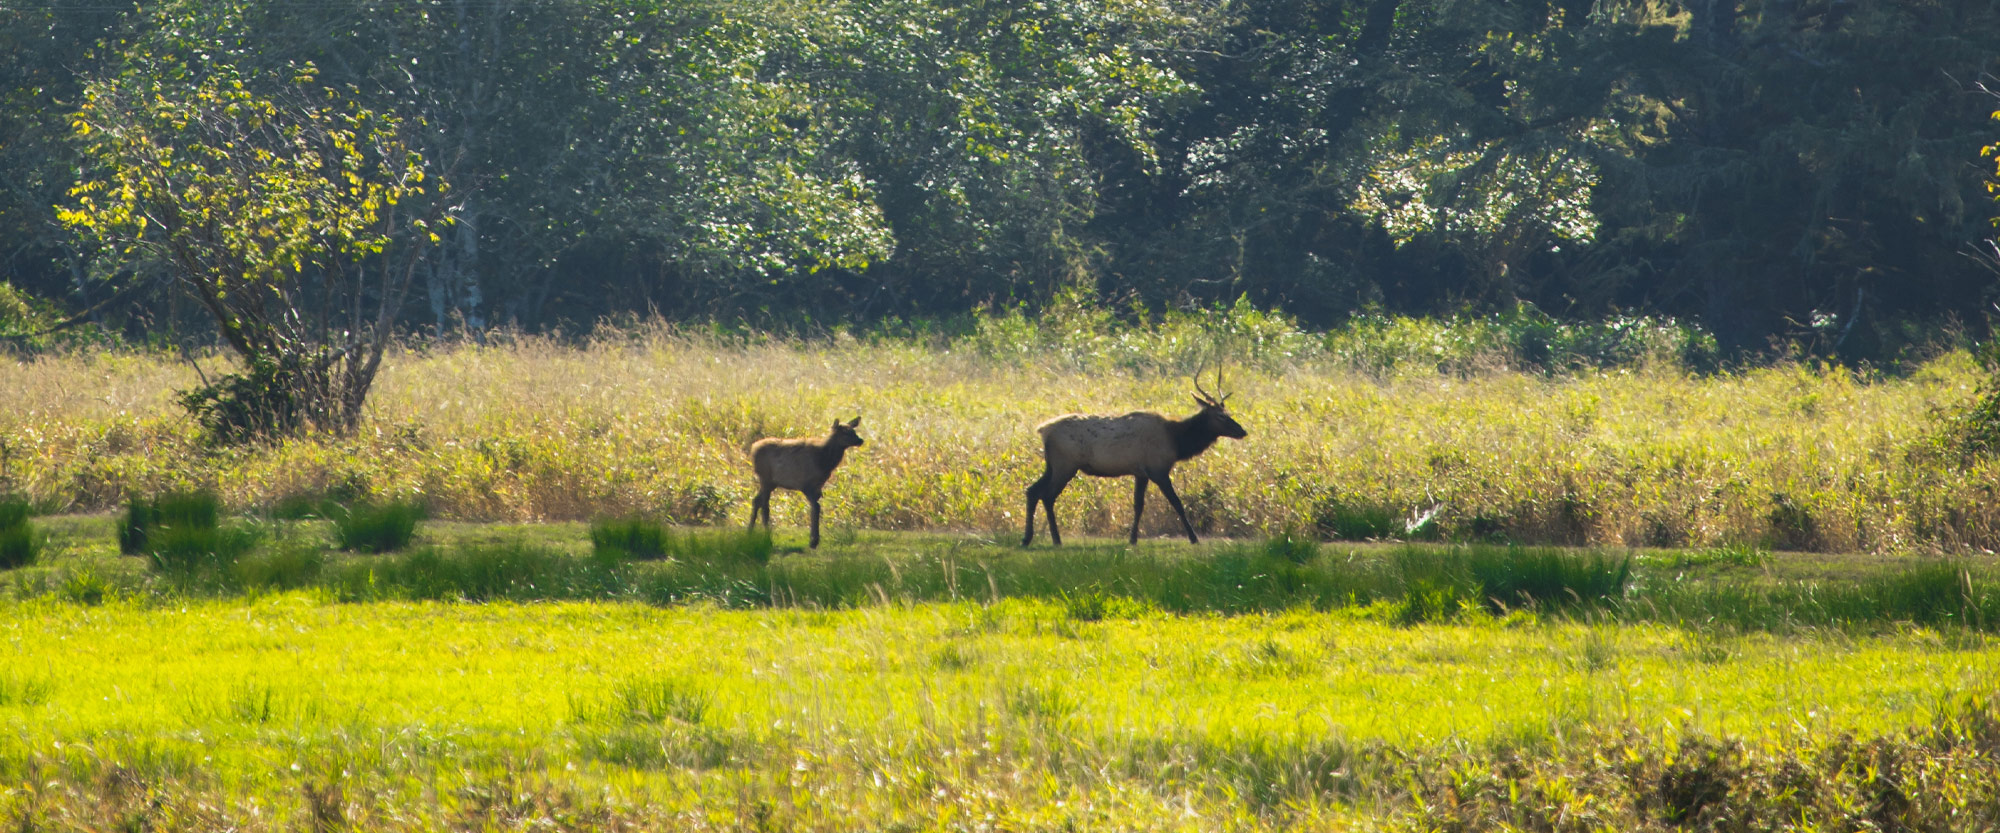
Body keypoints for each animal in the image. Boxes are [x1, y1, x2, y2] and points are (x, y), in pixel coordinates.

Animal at [746, 416, 864, 549]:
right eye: (845, 432)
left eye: (853, 431)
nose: (860, 440)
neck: (824, 461)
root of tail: (753, 449)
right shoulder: (806, 485)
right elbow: (816, 507)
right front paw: (814, 541)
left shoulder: (818, 487)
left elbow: (815, 508)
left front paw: (814, 539)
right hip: (765, 478)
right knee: (765, 506)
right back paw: (767, 537)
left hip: (771, 483)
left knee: (756, 500)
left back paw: (749, 532)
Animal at [1022, 369, 1246, 547]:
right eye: (1220, 416)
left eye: (1227, 411)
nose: (1242, 431)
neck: (1177, 442)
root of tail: (1043, 430)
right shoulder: (1158, 469)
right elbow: (1177, 503)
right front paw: (1193, 538)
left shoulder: (1141, 473)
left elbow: (1138, 505)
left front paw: (1132, 538)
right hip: (1065, 465)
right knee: (1047, 495)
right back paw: (1054, 539)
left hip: (1053, 465)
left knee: (1032, 490)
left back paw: (1028, 538)